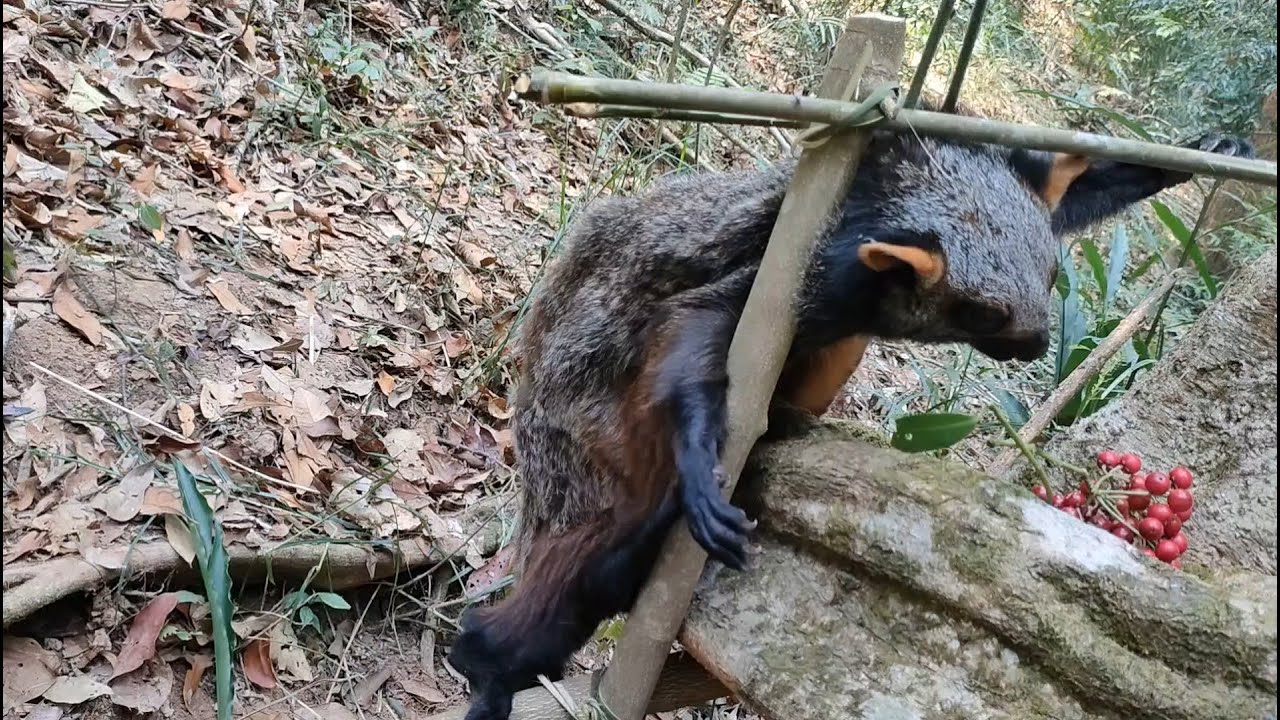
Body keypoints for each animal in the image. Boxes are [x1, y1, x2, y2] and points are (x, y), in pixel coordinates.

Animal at [446, 114, 1253, 720]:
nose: (1033, 345)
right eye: (980, 312)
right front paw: (702, 457)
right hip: (588, 457)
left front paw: (1206, 152)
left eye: (1054, 277)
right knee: (559, 591)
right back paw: (486, 664)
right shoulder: (801, 273)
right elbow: (695, 323)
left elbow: (1076, 186)